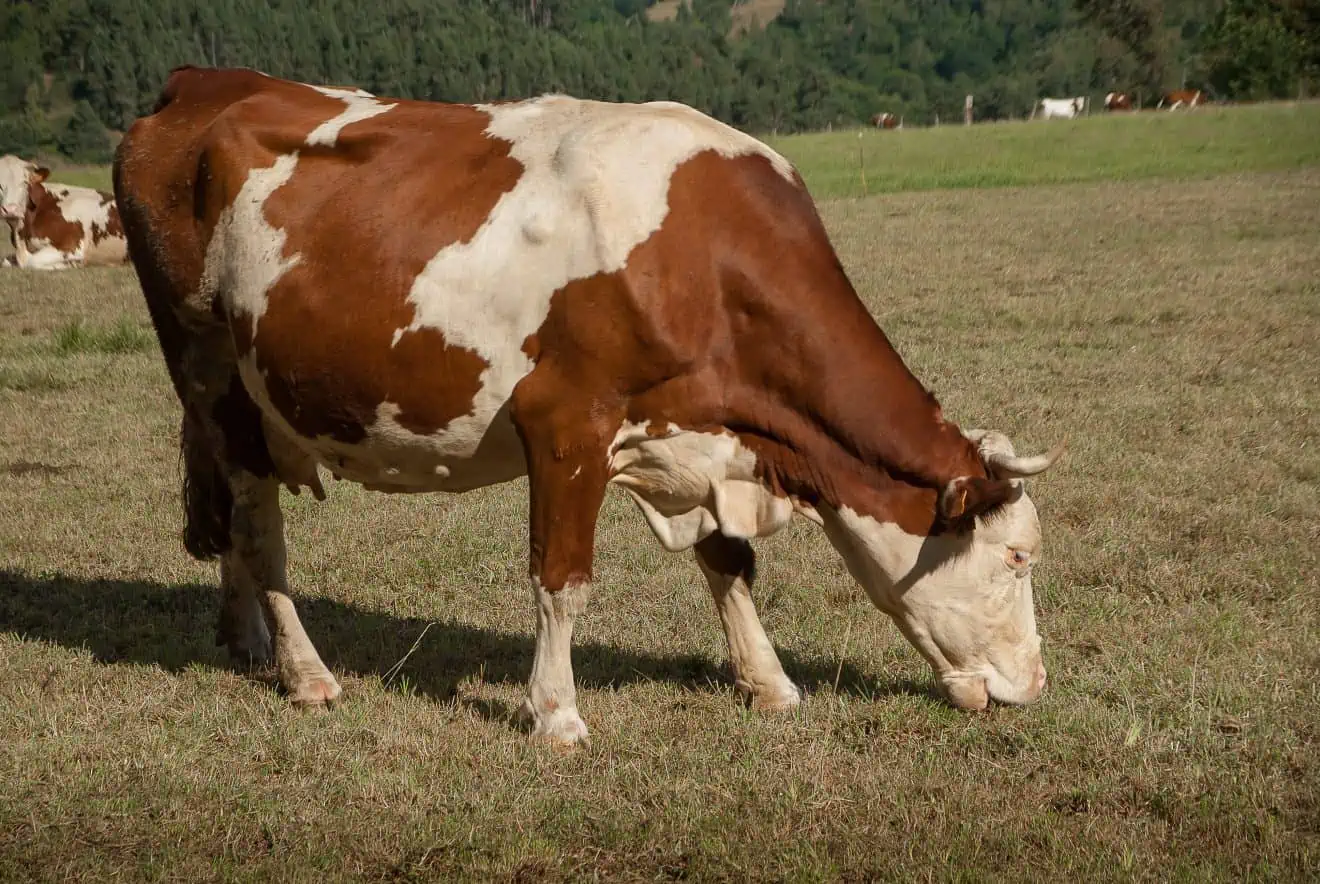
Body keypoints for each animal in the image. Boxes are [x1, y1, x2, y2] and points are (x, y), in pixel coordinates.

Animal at [114, 67, 1064, 745]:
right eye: (1017, 560)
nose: (1035, 686)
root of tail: (202, 82)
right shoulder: (567, 427)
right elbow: (561, 579)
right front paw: (555, 714)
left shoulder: (697, 432)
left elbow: (729, 562)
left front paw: (767, 682)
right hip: (211, 367)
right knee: (256, 518)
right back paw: (305, 671)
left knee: (233, 512)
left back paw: (245, 638)